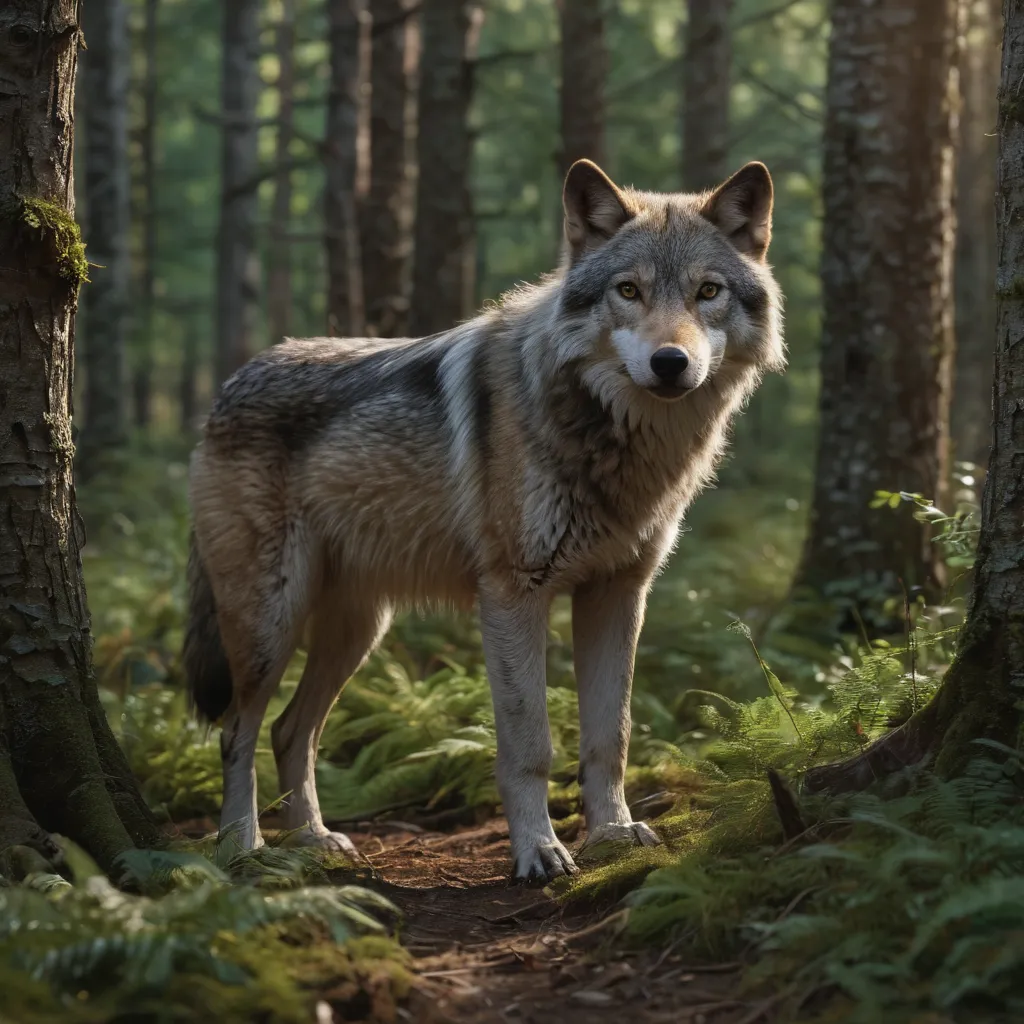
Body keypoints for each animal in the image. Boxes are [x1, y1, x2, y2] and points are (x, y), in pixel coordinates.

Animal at [184, 158, 785, 883]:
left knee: (289, 729)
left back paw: (314, 840)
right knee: (235, 731)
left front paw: (612, 835)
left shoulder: (617, 594)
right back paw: (243, 849)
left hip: (358, 631)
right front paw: (539, 851)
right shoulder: (512, 595)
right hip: (270, 624)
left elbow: (611, 736)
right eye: (629, 291)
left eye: (707, 291)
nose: (671, 363)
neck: (612, 437)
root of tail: (227, 386)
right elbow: (530, 745)